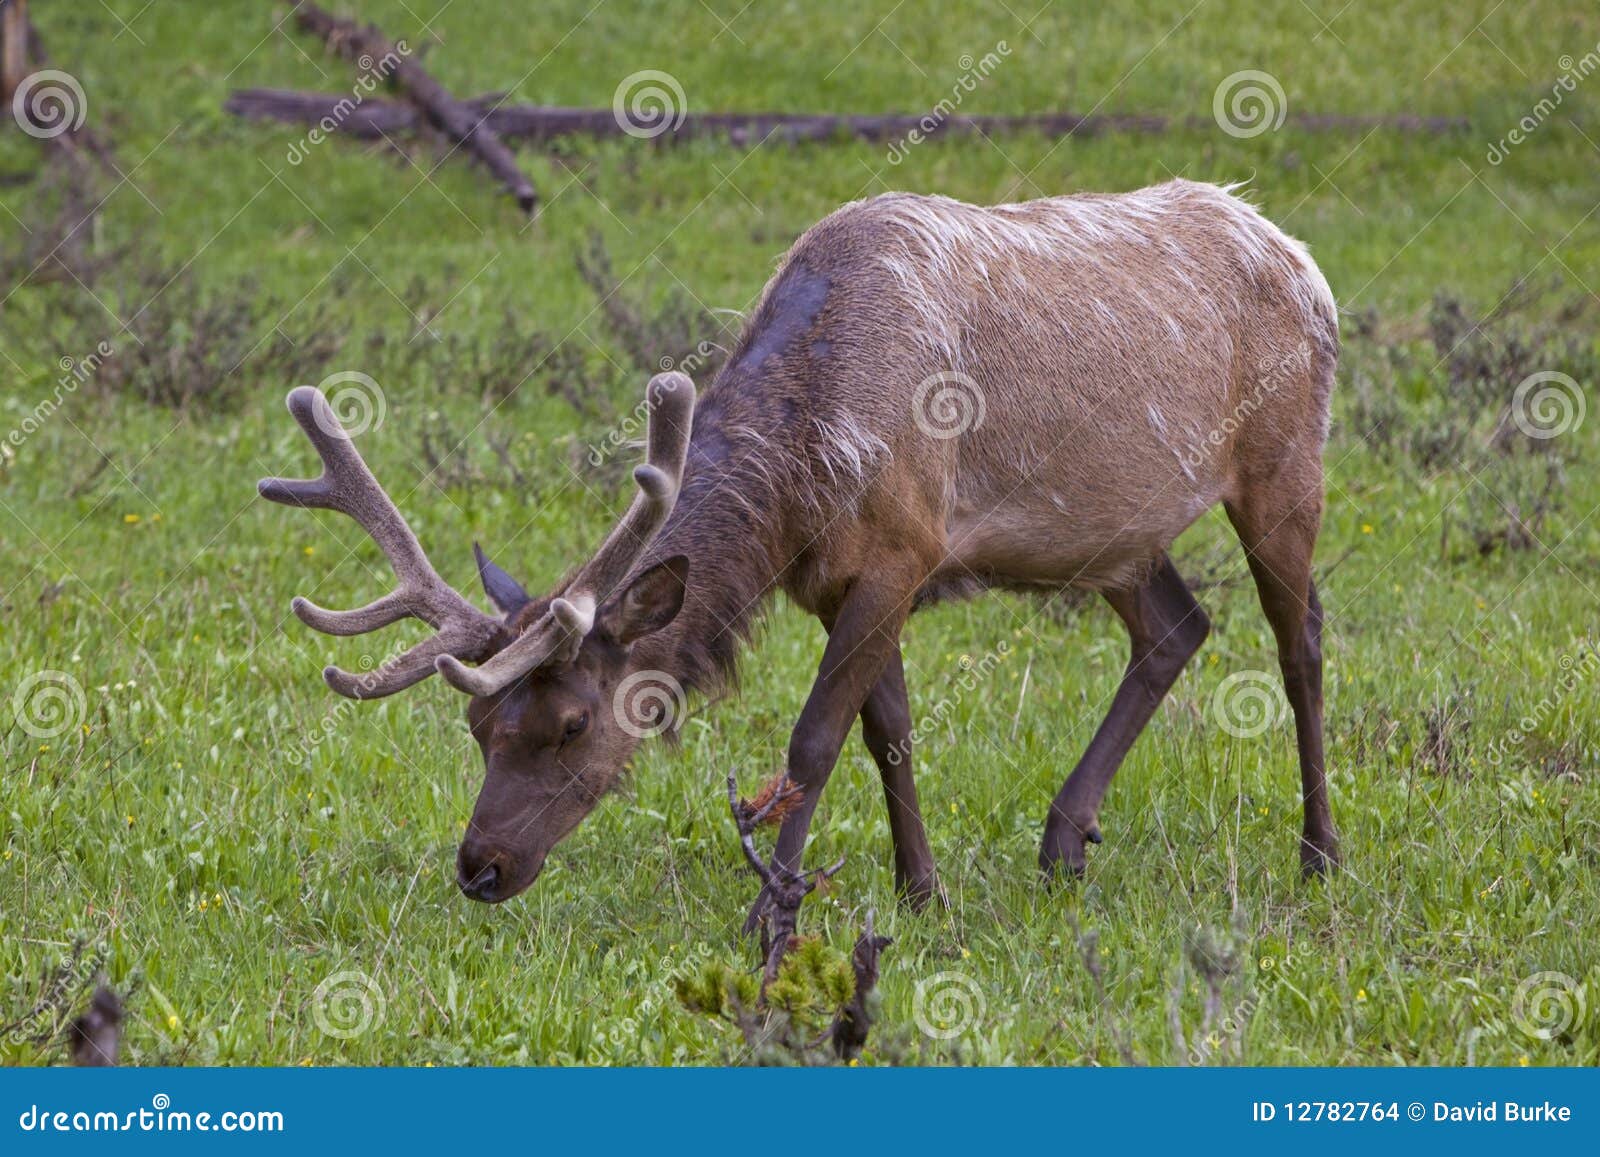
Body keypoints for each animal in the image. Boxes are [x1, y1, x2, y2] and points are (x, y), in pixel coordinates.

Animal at [260, 178, 1340, 937]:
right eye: (479, 724)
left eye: (572, 724)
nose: (479, 866)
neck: (805, 474)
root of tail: (1301, 254)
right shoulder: (838, 577)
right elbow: (887, 730)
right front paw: (920, 890)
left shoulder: (905, 547)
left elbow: (814, 741)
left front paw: (771, 910)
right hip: (1115, 535)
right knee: (1179, 625)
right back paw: (1064, 841)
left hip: (1285, 459)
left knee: (1300, 643)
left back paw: (1319, 851)